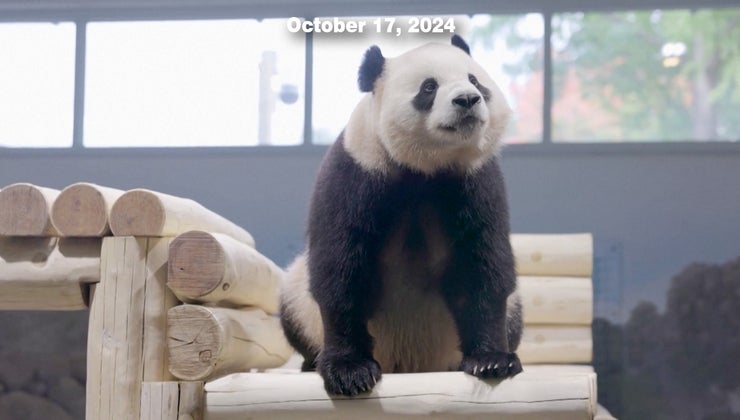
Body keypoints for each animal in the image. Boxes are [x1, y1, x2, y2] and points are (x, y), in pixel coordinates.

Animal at [280, 35, 522, 396]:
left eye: (475, 80)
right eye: (429, 87)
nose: (468, 99)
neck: (426, 168)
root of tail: (412, 364)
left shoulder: (475, 181)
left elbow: (484, 263)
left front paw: (491, 360)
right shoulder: (358, 172)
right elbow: (341, 267)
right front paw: (350, 371)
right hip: (300, 304)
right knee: (293, 300)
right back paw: (311, 362)